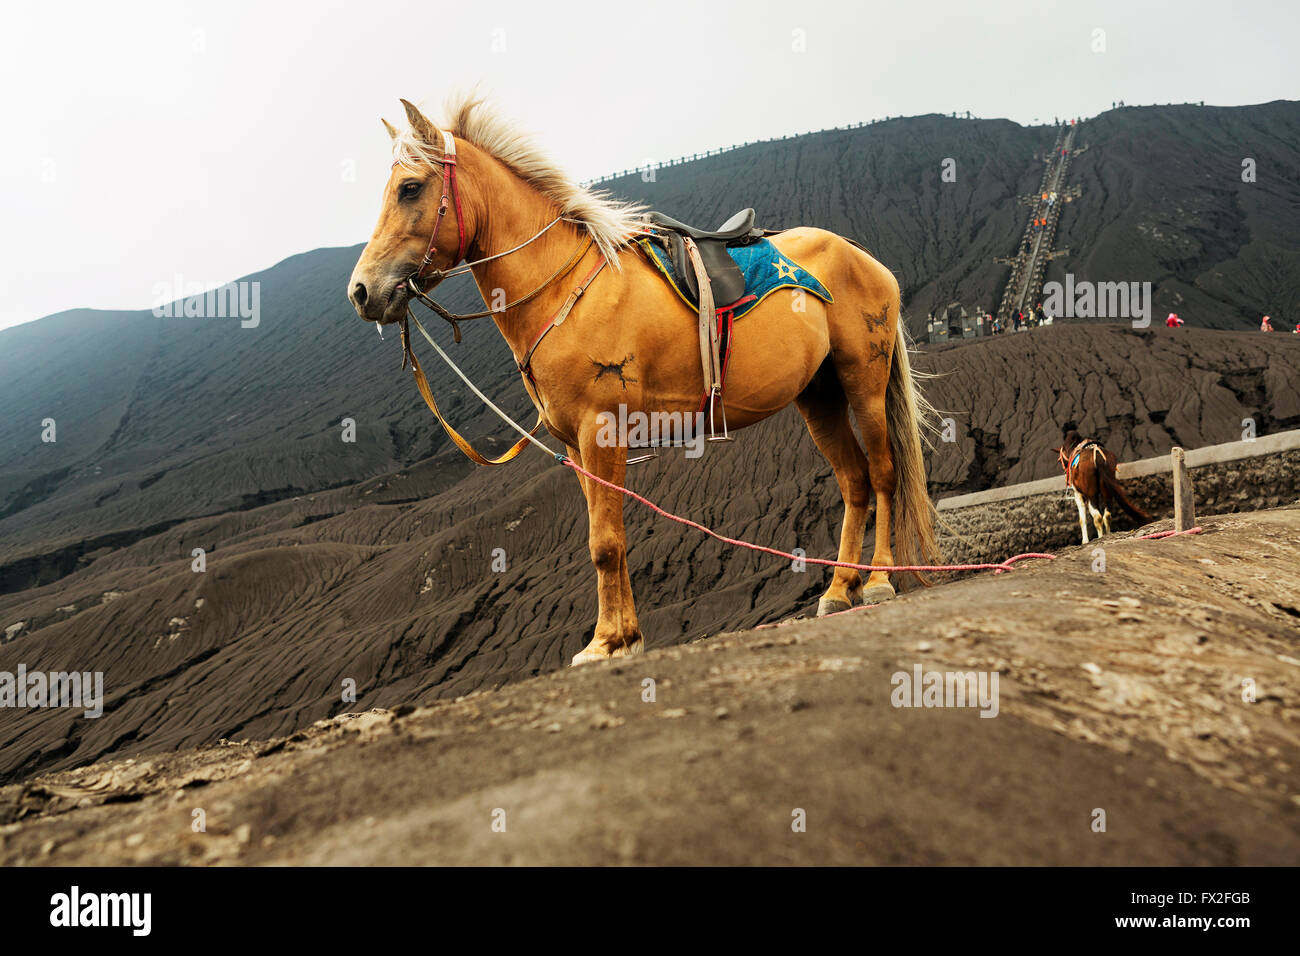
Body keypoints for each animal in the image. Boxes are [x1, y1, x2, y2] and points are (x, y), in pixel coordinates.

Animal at [347, 94, 939, 665]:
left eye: (410, 188)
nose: (361, 291)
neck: (561, 286)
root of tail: (862, 255)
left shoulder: (601, 430)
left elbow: (605, 542)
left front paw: (605, 641)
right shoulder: (576, 445)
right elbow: (606, 537)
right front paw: (625, 636)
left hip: (863, 381)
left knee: (882, 473)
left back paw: (880, 579)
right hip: (818, 397)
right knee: (854, 481)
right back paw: (840, 589)